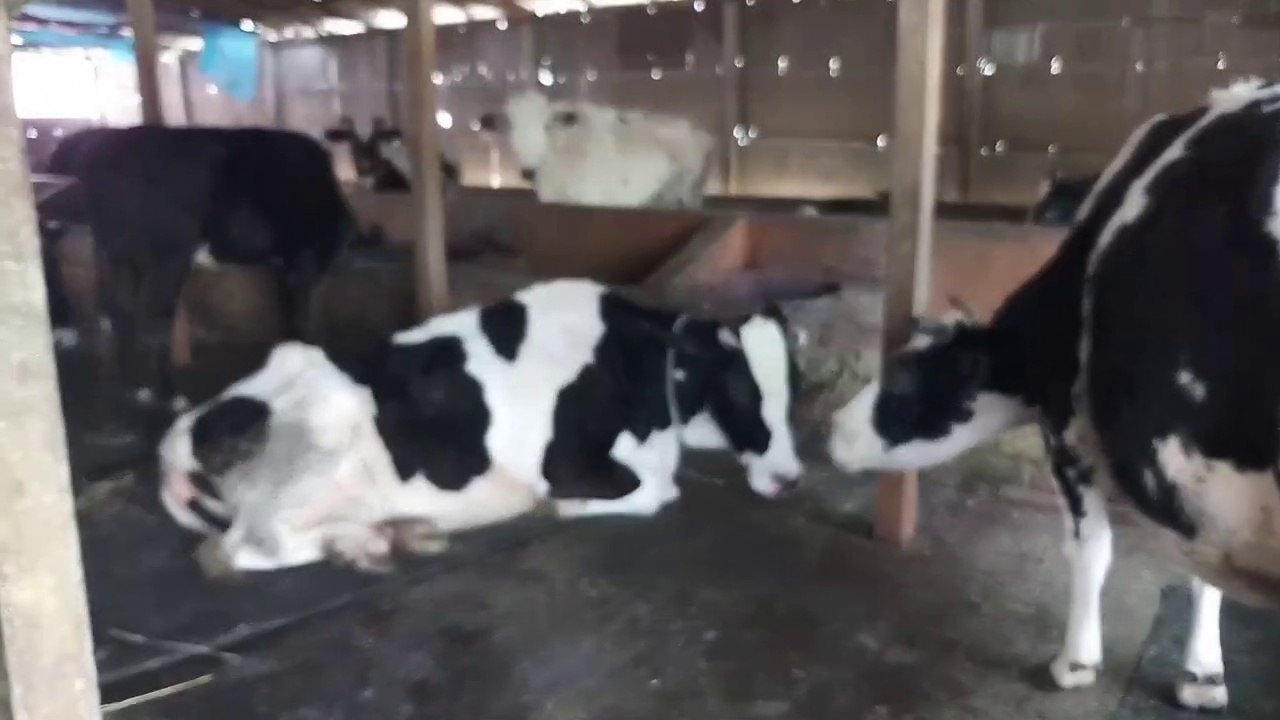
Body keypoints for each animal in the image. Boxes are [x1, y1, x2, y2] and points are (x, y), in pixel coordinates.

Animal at [46, 125, 365, 405]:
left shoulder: (284, 265)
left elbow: (287, 312)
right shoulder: (307, 257)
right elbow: (304, 314)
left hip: (117, 253)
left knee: (118, 308)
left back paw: (133, 386)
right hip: (168, 253)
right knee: (153, 316)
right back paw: (169, 393)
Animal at [156, 278, 806, 575]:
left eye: (794, 390)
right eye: (741, 390)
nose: (792, 478)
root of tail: (177, 439)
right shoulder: (567, 464)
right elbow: (655, 492)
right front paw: (564, 508)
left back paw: (395, 532)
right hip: (317, 442)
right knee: (243, 548)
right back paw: (367, 543)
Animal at [826, 77, 1280, 713]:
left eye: (903, 378)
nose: (833, 430)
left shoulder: (1066, 422)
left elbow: (1091, 548)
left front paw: (1076, 662)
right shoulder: (1196, 481)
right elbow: (1202, 573)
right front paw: (1202, 674)